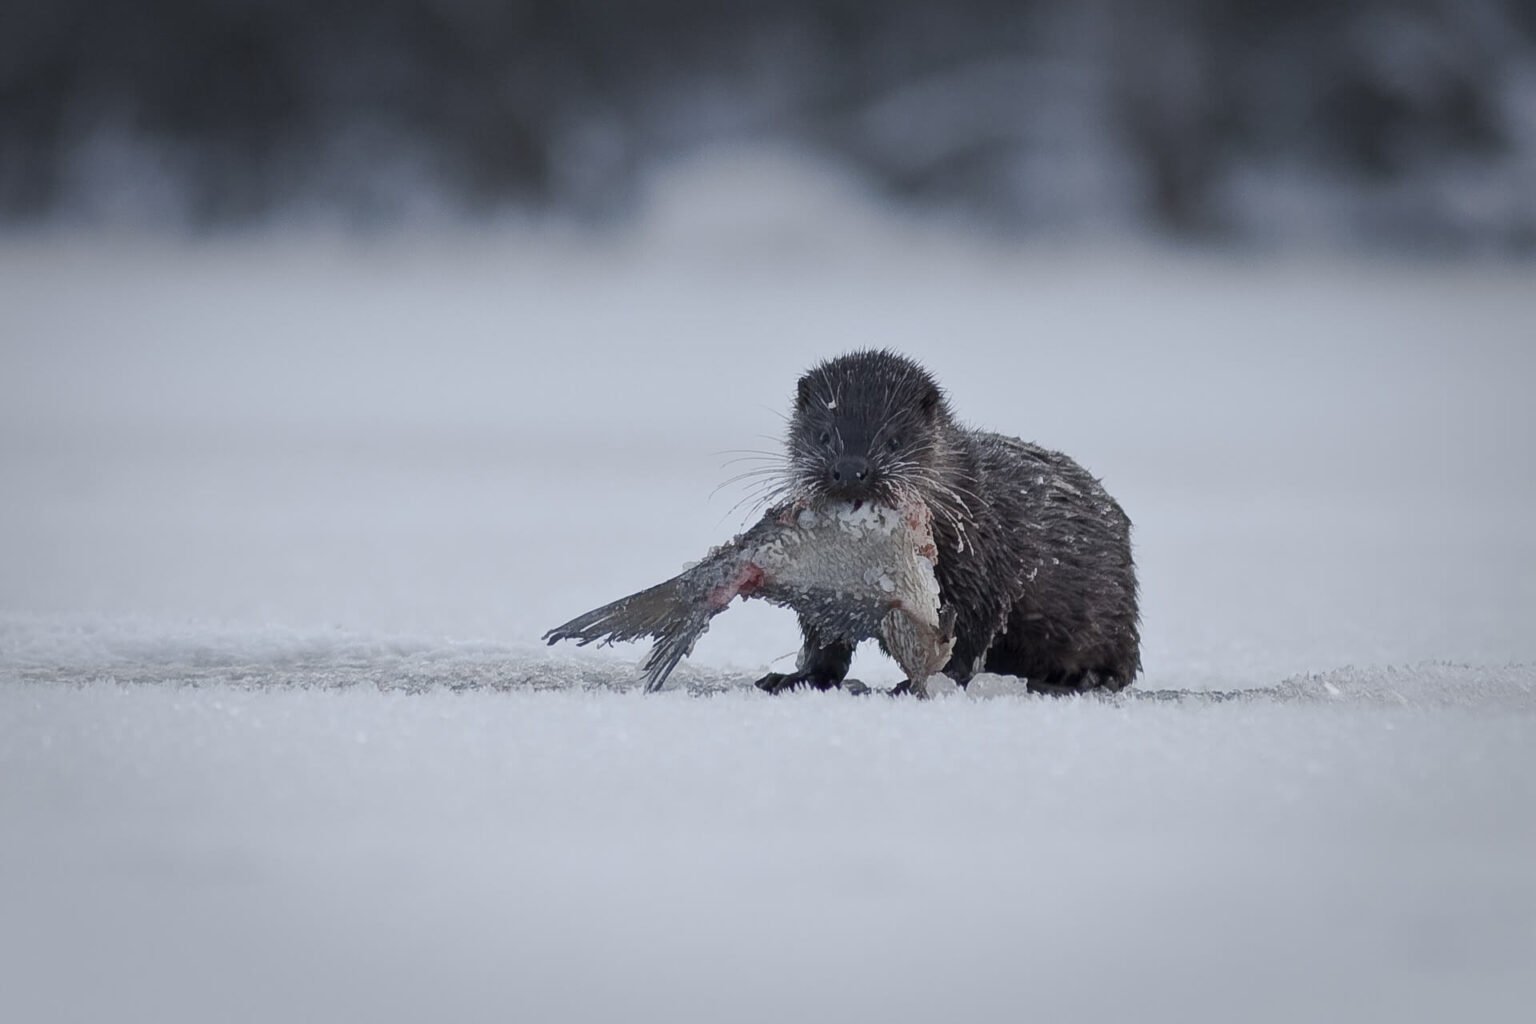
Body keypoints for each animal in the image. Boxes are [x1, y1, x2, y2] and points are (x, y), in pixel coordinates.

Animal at [753, 349, 1140, 696]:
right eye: (824, 435)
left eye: (894, 440)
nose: (850, 469)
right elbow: (824, 639)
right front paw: (795, 677)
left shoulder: (980, 568)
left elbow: (967, 637)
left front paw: (923, 683)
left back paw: (1084, 678)